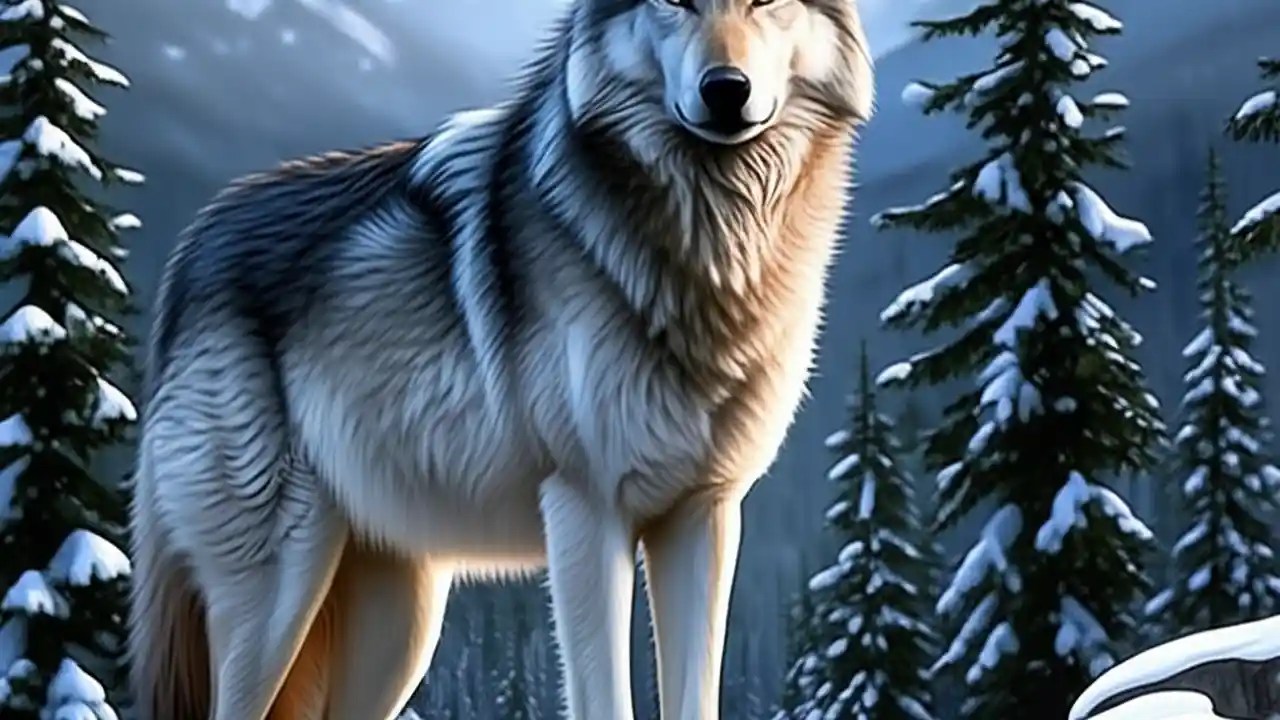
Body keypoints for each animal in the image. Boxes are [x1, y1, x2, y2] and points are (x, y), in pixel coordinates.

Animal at [127, 0, 873, 718]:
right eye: (677, 3)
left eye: (764, 2)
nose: (725, 90)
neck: (708, 249)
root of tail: (194, 244)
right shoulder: (585, 511)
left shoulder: (703, 515)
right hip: (279, 589)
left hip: (400, 627)